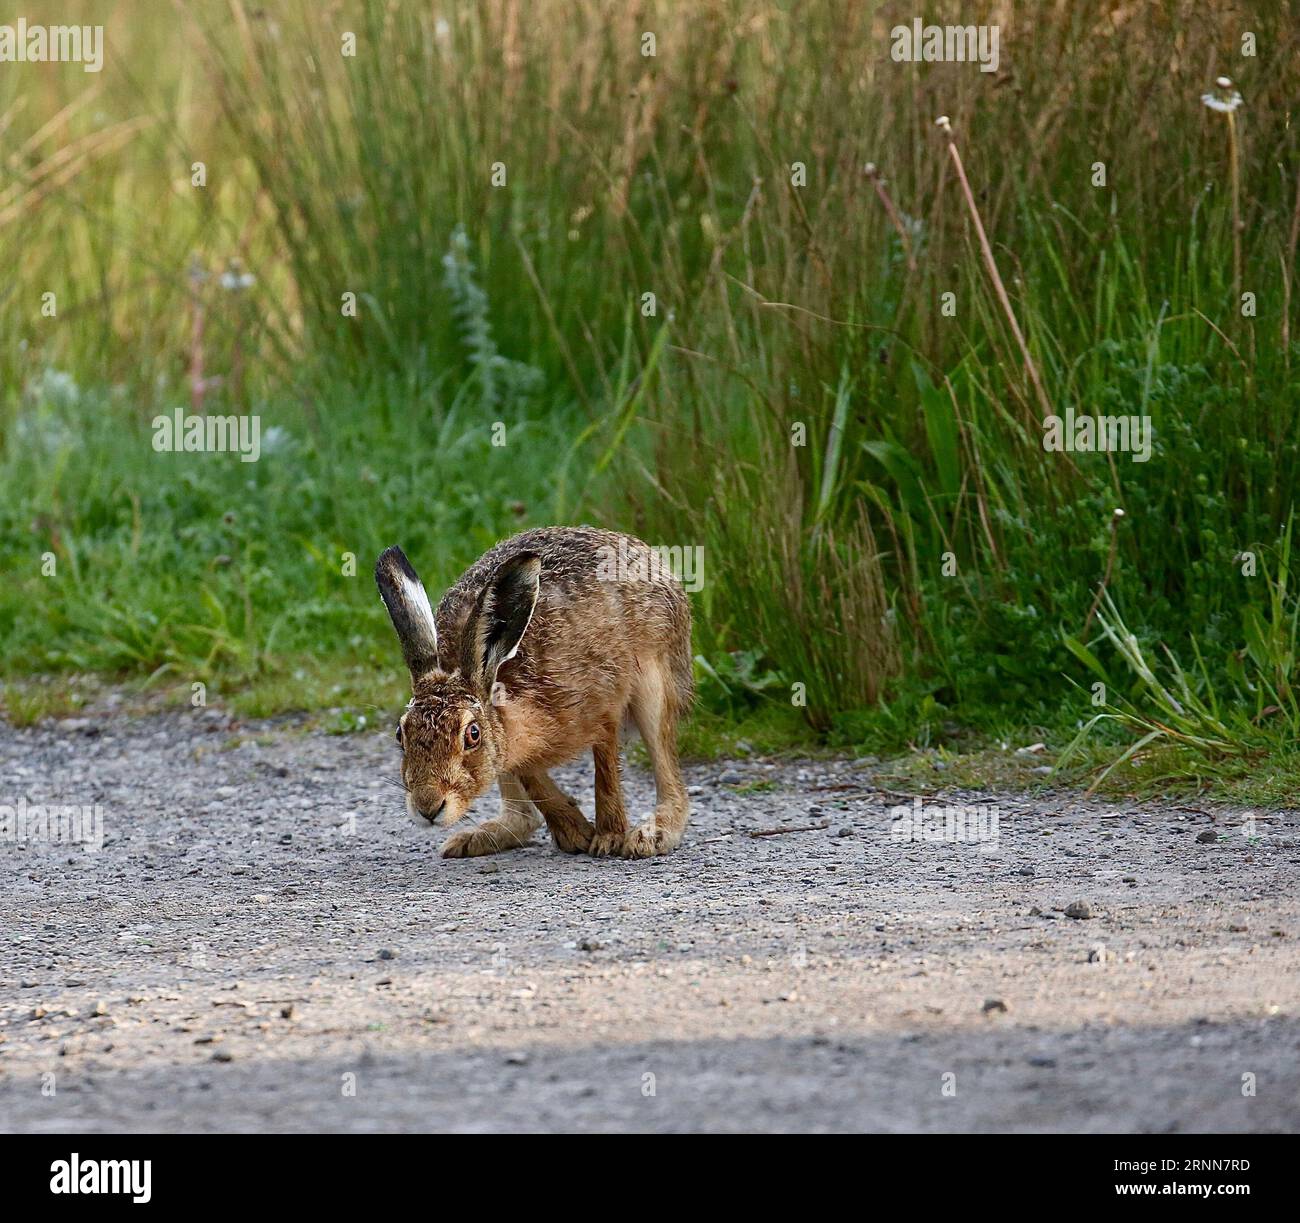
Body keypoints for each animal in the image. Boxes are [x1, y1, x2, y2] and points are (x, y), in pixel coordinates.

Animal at [374, 526, 693, 859]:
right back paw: (478, 838)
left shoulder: (605, 704)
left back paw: (652, 834)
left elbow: (605, 771)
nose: (428, 807)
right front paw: (574, 832)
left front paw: (608, 837)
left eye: (473, 735)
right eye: (400, 734)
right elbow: (529, 774)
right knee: (522, 817)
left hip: (655, 683)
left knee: (671, 778)